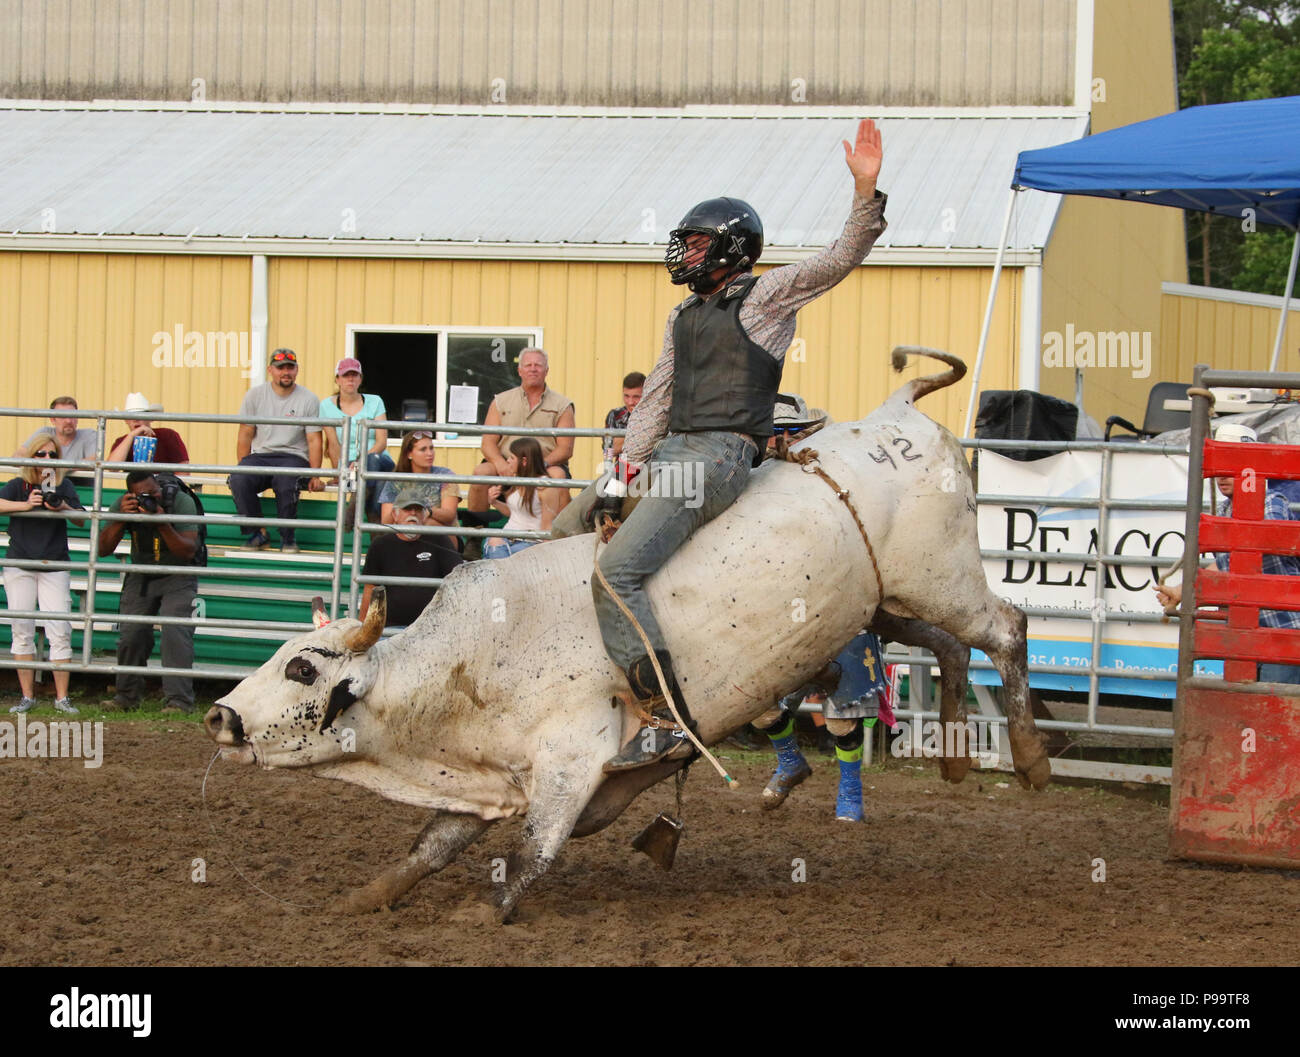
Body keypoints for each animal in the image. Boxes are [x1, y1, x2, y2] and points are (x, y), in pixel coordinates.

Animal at [206, 348, 1048, 922]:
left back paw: (1031, 759)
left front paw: (484, 911)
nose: (221, 714)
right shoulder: (484, 773)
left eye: (303, 670)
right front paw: (363, 898)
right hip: (883, 601)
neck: (465, 669)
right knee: (950, 644)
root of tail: (892, 413)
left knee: (1007, 628)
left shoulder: (571, 758)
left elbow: (532, 850)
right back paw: (958, 754)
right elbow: (429, 845)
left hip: (944, 574)